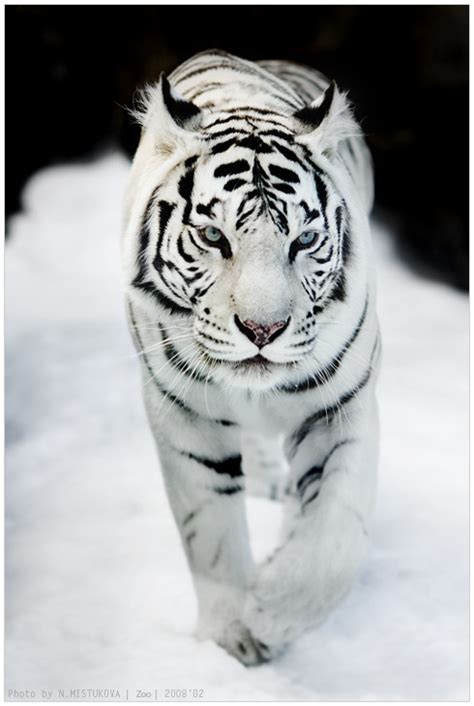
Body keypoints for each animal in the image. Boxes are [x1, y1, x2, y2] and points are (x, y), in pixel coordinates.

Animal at [122, 49, 380, 666]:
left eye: (304, 240)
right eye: (214, 237)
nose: (264, 329)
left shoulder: (343, 405)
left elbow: (335, 531)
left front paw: (273, 612)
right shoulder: (183, 416)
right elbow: (211, 532)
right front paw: (232, 638)